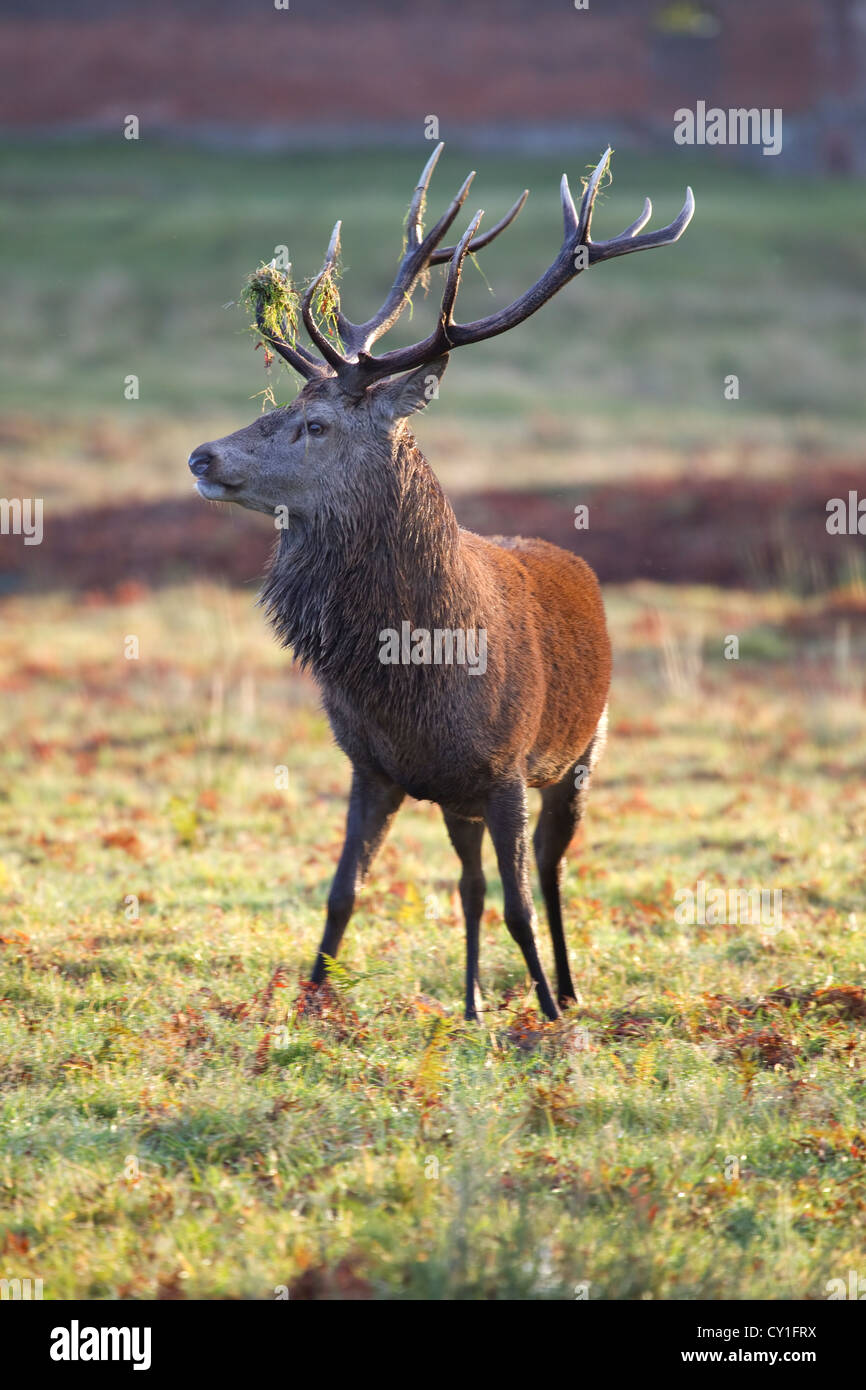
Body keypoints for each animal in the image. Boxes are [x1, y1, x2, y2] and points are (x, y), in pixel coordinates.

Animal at [188, 146, 694, 1021]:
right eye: (285, 405)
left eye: (316, 424)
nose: (202, 455)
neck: (414, 674)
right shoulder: (373, 768)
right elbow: (342, 893)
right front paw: (307, 1006)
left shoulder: (508, 767)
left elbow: (522, 905)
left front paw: (551, 1020)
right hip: (460, 799)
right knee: (469, 884)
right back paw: (470, 1007)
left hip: (582, 749)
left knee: (550, 873)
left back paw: (566, 990)